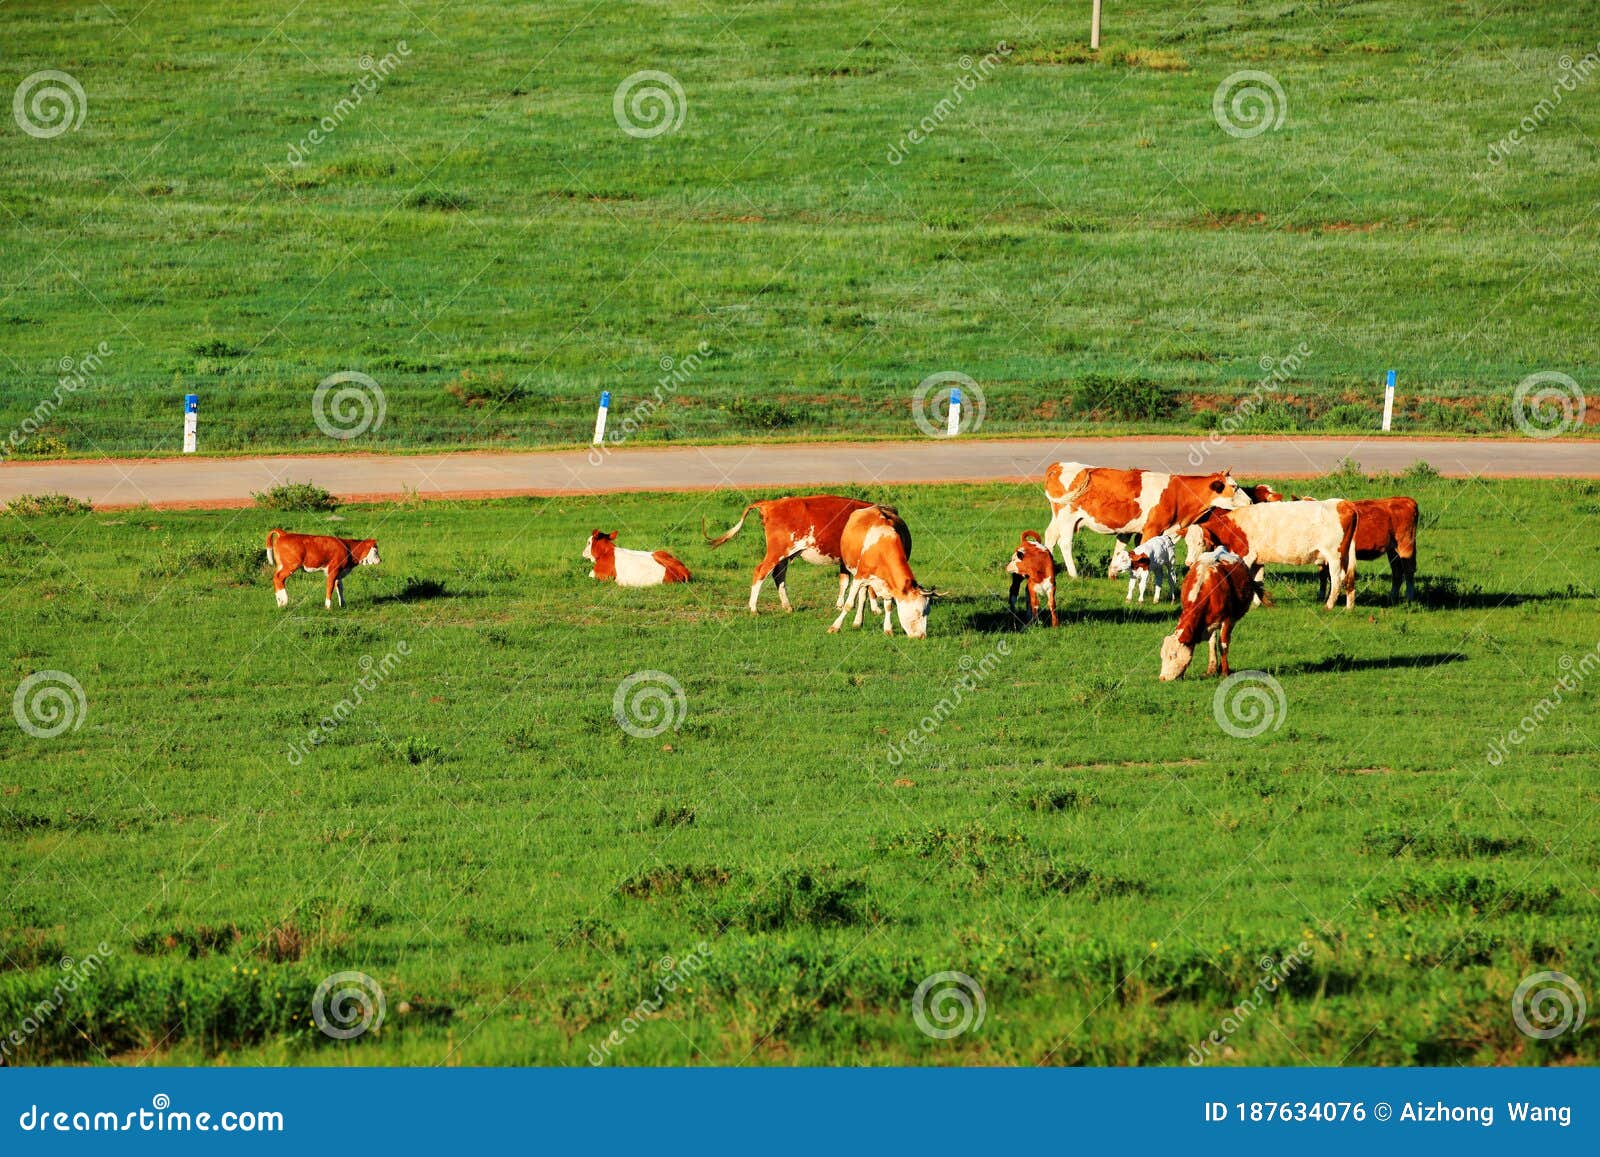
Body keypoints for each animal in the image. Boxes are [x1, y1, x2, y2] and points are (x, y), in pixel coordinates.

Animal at [704, 495, 904, 614]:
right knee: (760, 572)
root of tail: (771, 504)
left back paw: (788, 606)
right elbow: (867, 586)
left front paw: (840, 604)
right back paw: (754, 608)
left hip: (783, 556)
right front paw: (876, 609)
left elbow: (845, 582)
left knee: (778, 577)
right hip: (776, 552)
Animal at [828, 505, 932, 638]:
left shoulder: (890, 584)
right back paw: (857, 622)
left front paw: (888, 629)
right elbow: (848, 604)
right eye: (918, 612)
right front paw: (834, 627)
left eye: (927, 612)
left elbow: (888, 606)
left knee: (863, 595)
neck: (883, 549)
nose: (922, 636)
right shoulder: (859, 577)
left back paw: (858, 621)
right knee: (862, 596)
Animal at [1041, 462, 1247, 578]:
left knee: (1050, 537)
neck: (1176, 493)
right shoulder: (1152, 529)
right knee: (1065, 543)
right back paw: (1074, 574)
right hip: (1067, 518)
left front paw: (1114, 572)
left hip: (1057, 518)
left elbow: (1123, 549)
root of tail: (1059, 465)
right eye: (1234, 486)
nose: (1251, 501)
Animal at [1187, 500, 1359, 610]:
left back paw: (1329, 605)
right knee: (1348, 578)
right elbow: (1257, 581)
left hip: (1334, 556)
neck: (1232, 527)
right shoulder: (1257, 561)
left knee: (1337, 579)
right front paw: (1256, 604)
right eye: (1187, 542)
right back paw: (1349, 607)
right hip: (1345, 555)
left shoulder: (1245, 557)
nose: (1189, 563)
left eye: (1200, 543)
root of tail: (1344, 503)